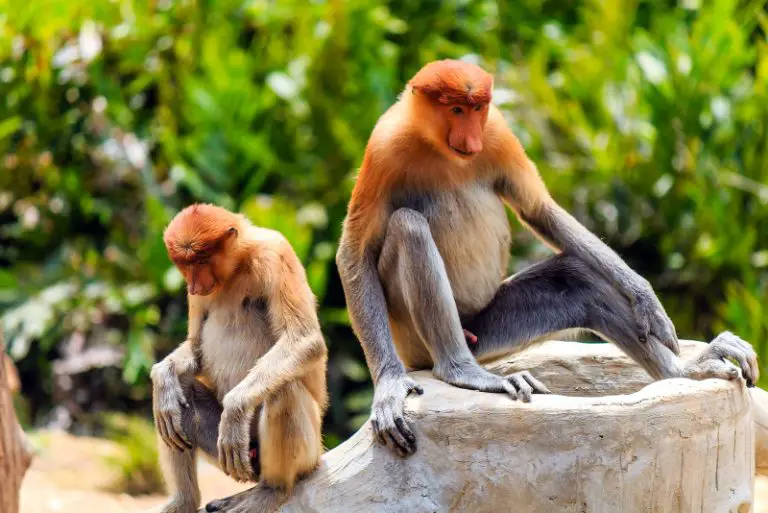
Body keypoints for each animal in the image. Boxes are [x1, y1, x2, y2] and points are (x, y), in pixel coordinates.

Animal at [151, 203, 328, 513]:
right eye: (184, 264)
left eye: (202, 260)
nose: (194, 285)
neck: (236, 267)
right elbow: (196, 347)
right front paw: (162, 375)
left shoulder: (276, 253)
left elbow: (304, 338)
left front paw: (235, 409)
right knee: (177, 397)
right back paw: (184, 501)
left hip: (306, 452)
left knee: (284, 390)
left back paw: (270, 490)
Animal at [335, 59, 759, 458]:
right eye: (455, 109)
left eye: (478, 108)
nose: (471, 140)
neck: (439, 148)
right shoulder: (384, 147)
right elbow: (354, 254)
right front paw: (390, 388)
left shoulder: (497, 133)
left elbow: (540, 211)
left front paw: (646, 299)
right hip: (411, 337)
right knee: (408, 226)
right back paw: (463, 370)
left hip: (490, 325)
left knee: (578, 281)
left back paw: (688, 371)